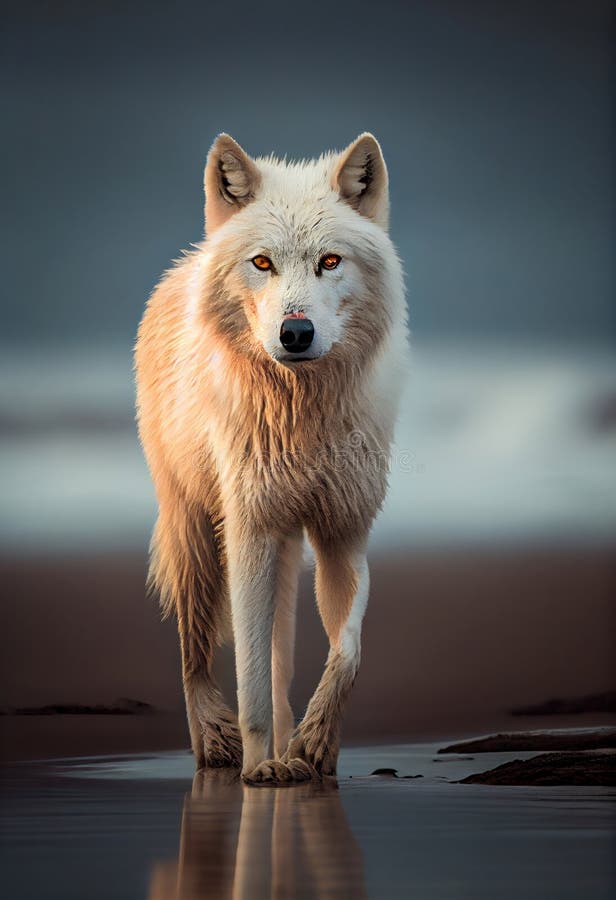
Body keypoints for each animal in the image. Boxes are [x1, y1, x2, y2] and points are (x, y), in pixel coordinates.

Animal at [135, 133, 408, 784]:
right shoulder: (251, 532)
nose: (296, 333)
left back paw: (289, 750)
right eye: (263, 264)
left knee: (283, 662)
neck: (301, 418)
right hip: (198, 538)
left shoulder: (342, 534)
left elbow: (347, 649)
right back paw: (217, 744)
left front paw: (315, 744)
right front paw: (258, 770)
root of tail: (188, 260)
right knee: (193, 654)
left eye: (330, 262)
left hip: (284, 551)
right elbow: (251, 680)